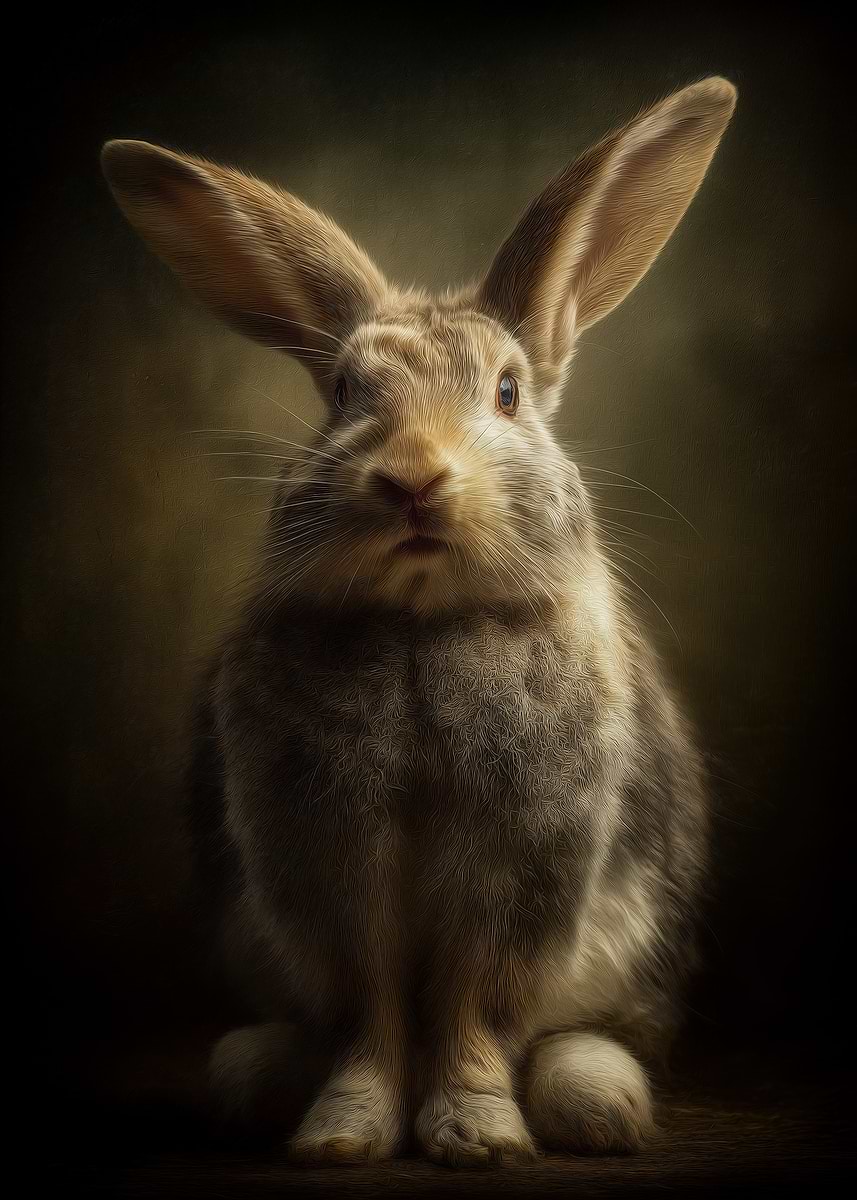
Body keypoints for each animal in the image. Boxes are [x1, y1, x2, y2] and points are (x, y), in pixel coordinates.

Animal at [101, 75, 736, 1167]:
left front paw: (478, 1137)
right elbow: (368, 1012)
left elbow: (477, 1006)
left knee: (578, 1039)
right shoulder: (326, 866)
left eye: (508, 393)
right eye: (344, 393)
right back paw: (258, 1079)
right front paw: (342, 1137)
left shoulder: (522, 865)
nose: (411, 477)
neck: (419, 630)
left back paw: (597, 1102)